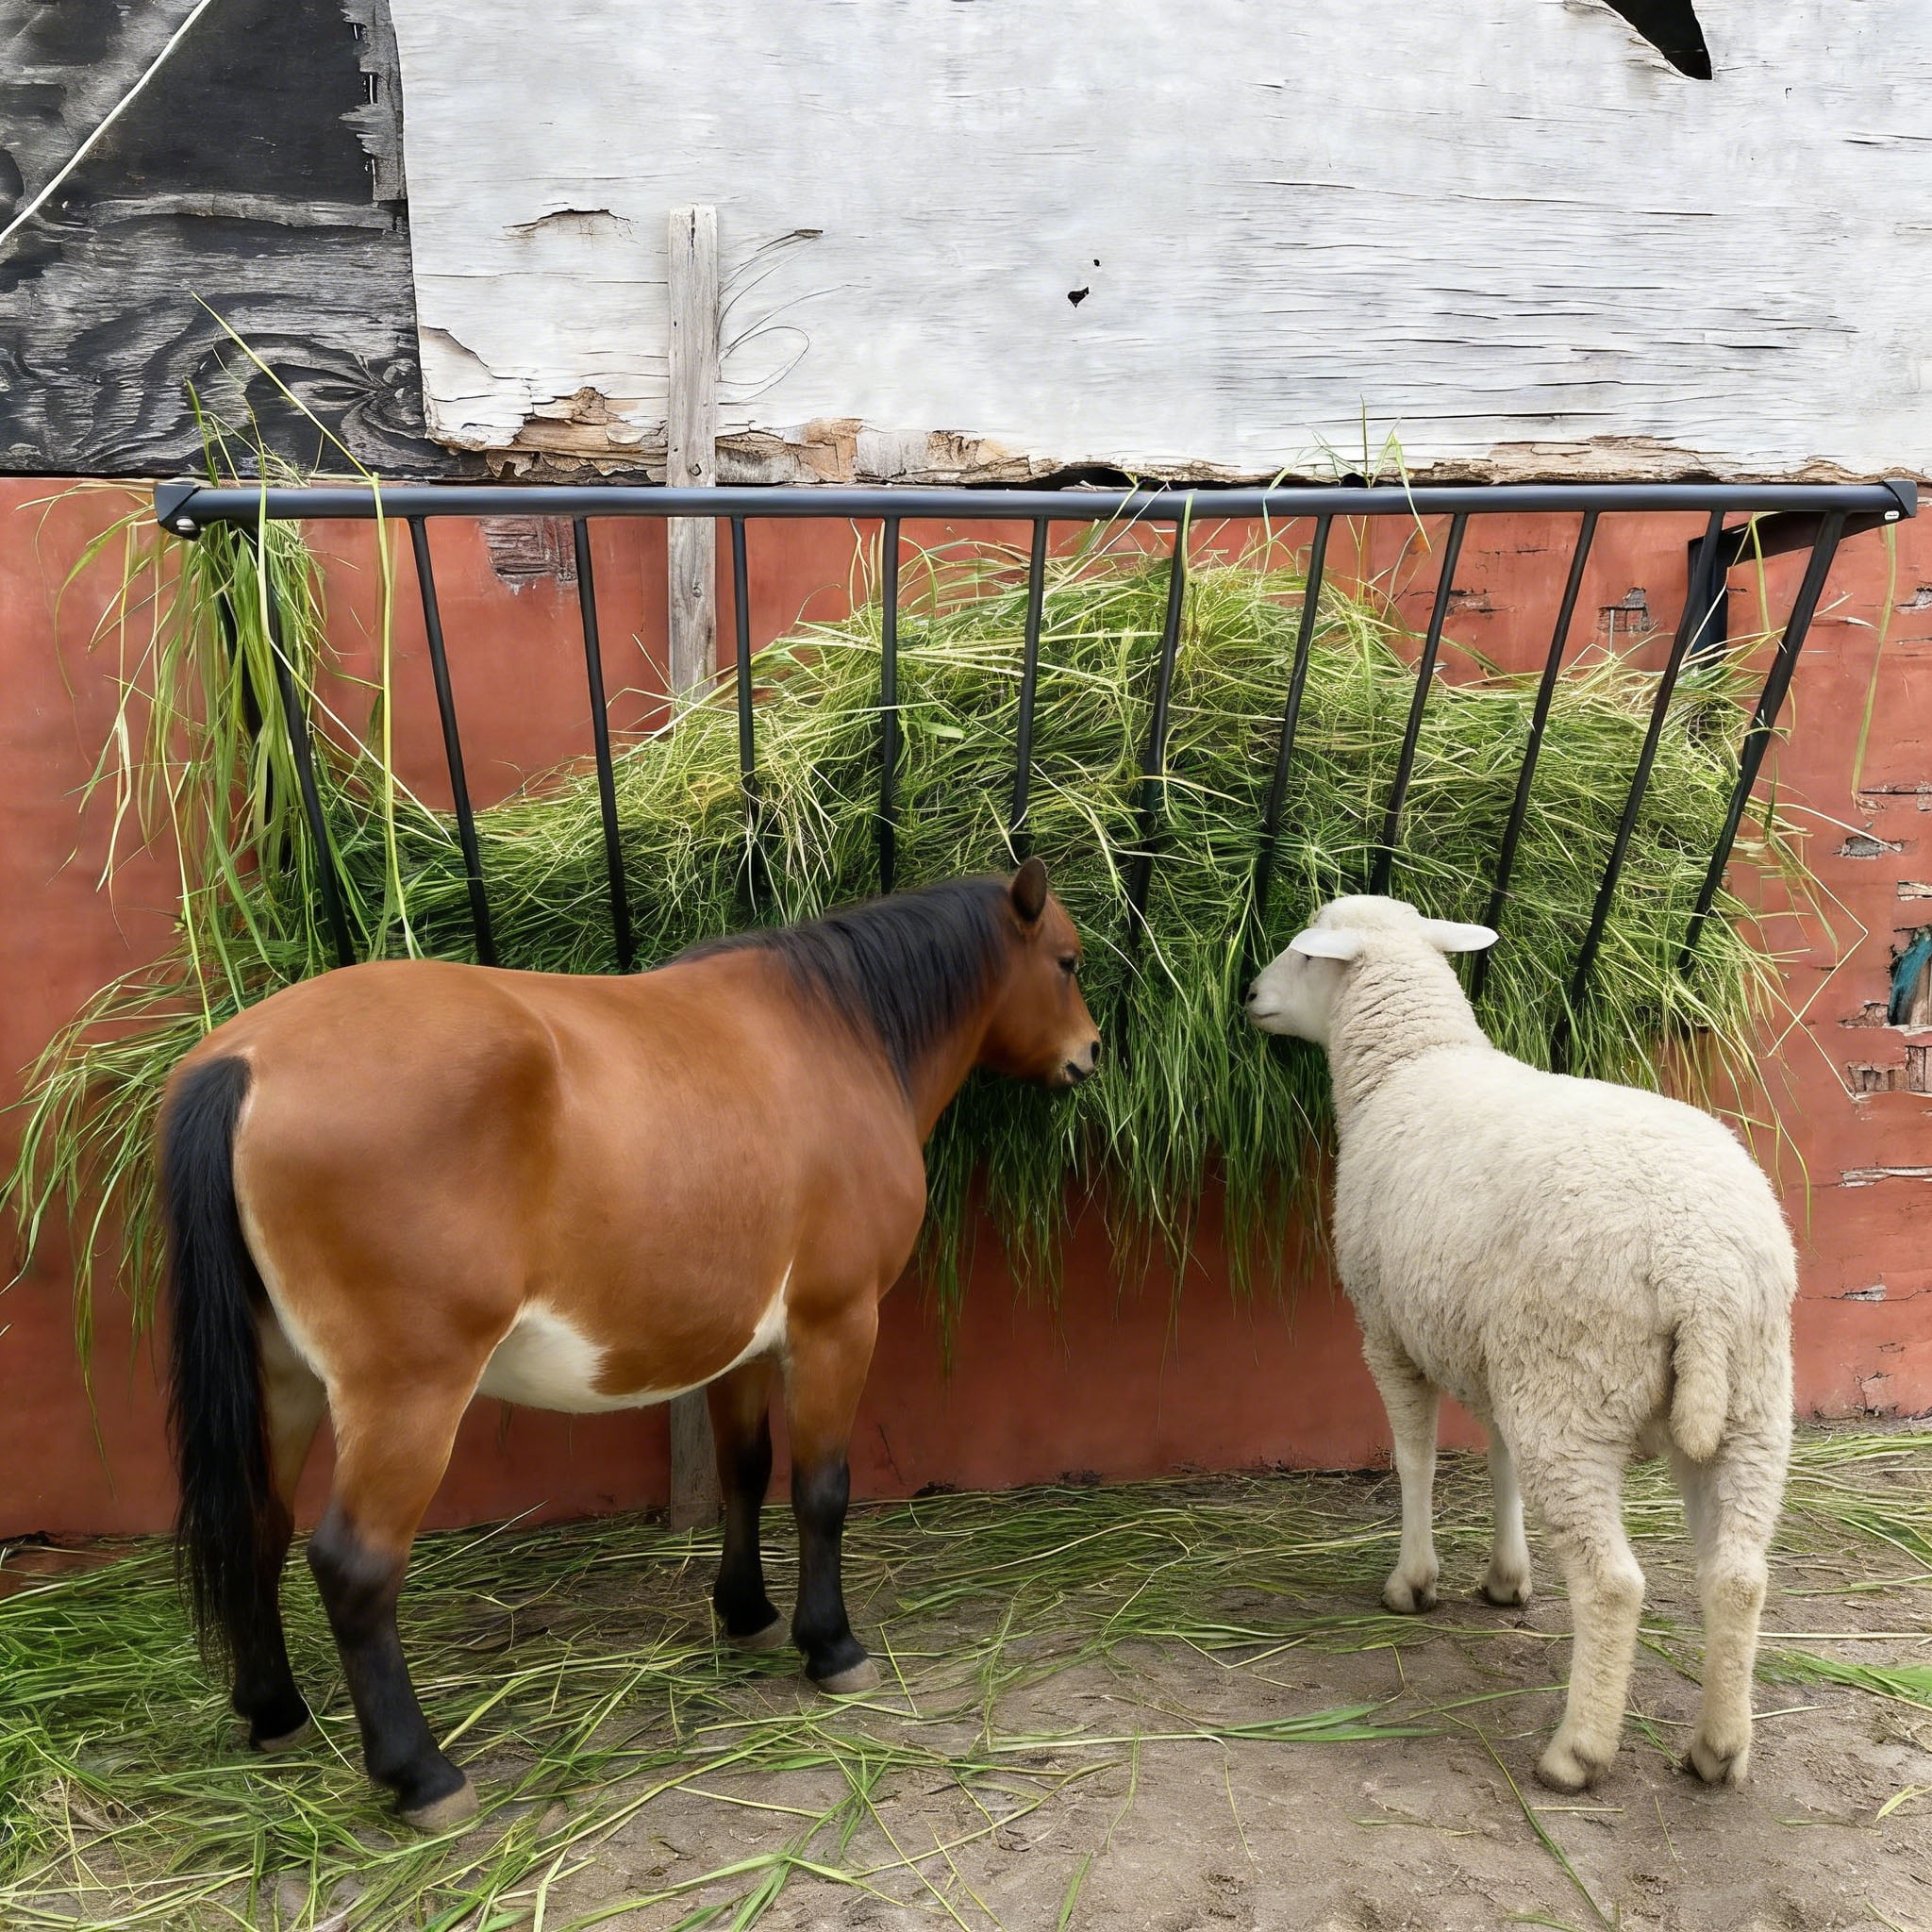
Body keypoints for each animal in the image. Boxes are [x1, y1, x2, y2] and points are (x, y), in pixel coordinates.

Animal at [160, 858, 1100, 1829]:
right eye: (1068, 962)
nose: (1090, 1053)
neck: (838, 1033)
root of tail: (243, 1063)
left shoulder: (746, 1347)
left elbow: (746, 1472)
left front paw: (747, 1613)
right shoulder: (837, 1325)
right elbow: (821, 1490)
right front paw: (830, 1646)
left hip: (285, 1380)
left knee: (261, 1524)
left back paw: (276, 1710)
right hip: (407, 1396)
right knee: (355, 1565)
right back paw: (422, 1775)